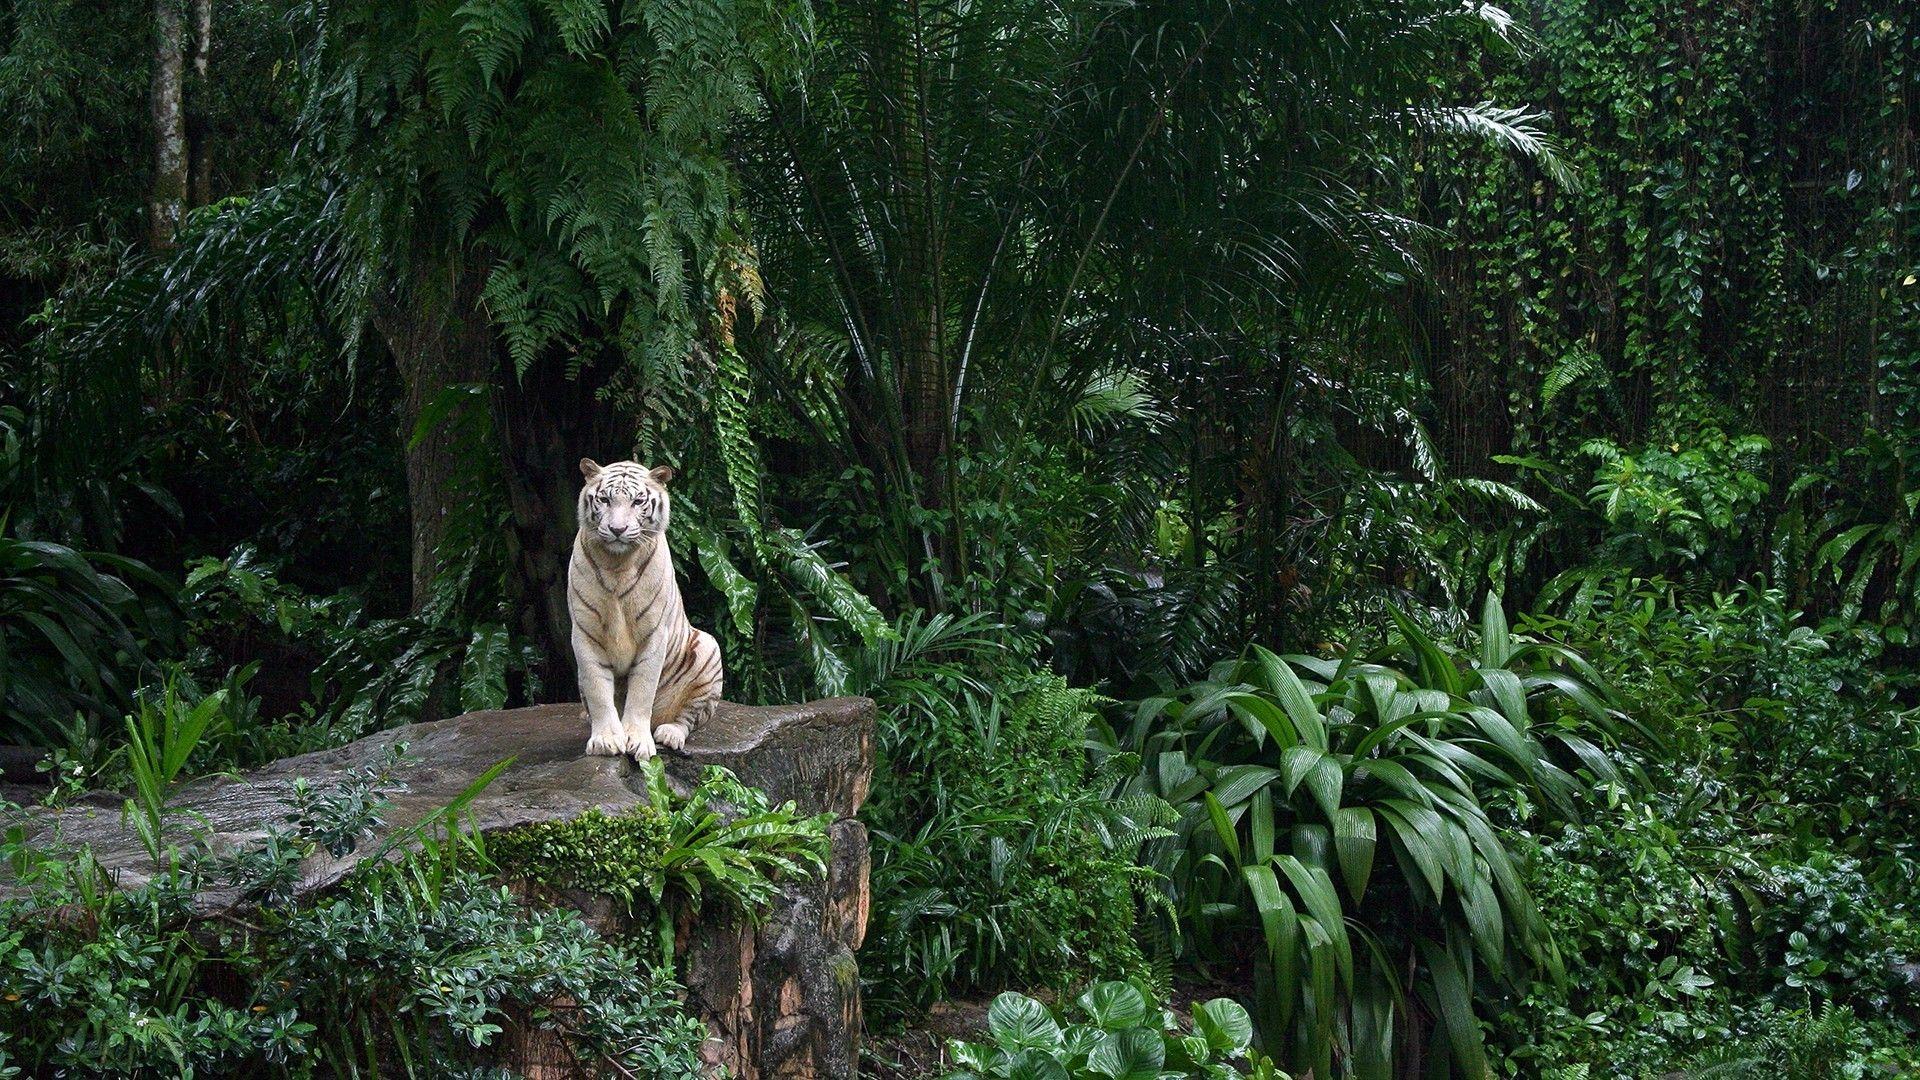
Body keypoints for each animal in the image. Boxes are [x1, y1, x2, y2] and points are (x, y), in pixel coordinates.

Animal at [568, 458, 723, 761]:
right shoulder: (585, 633)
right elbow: (598, 689)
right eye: (604, 499)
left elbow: (642, 691)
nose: (617, 530)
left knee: (688, 718)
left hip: (709, 649)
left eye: (638, 501)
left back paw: (670, 734)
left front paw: (637, 741)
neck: (617, 564)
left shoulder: (654, 634)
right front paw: (606, 740)